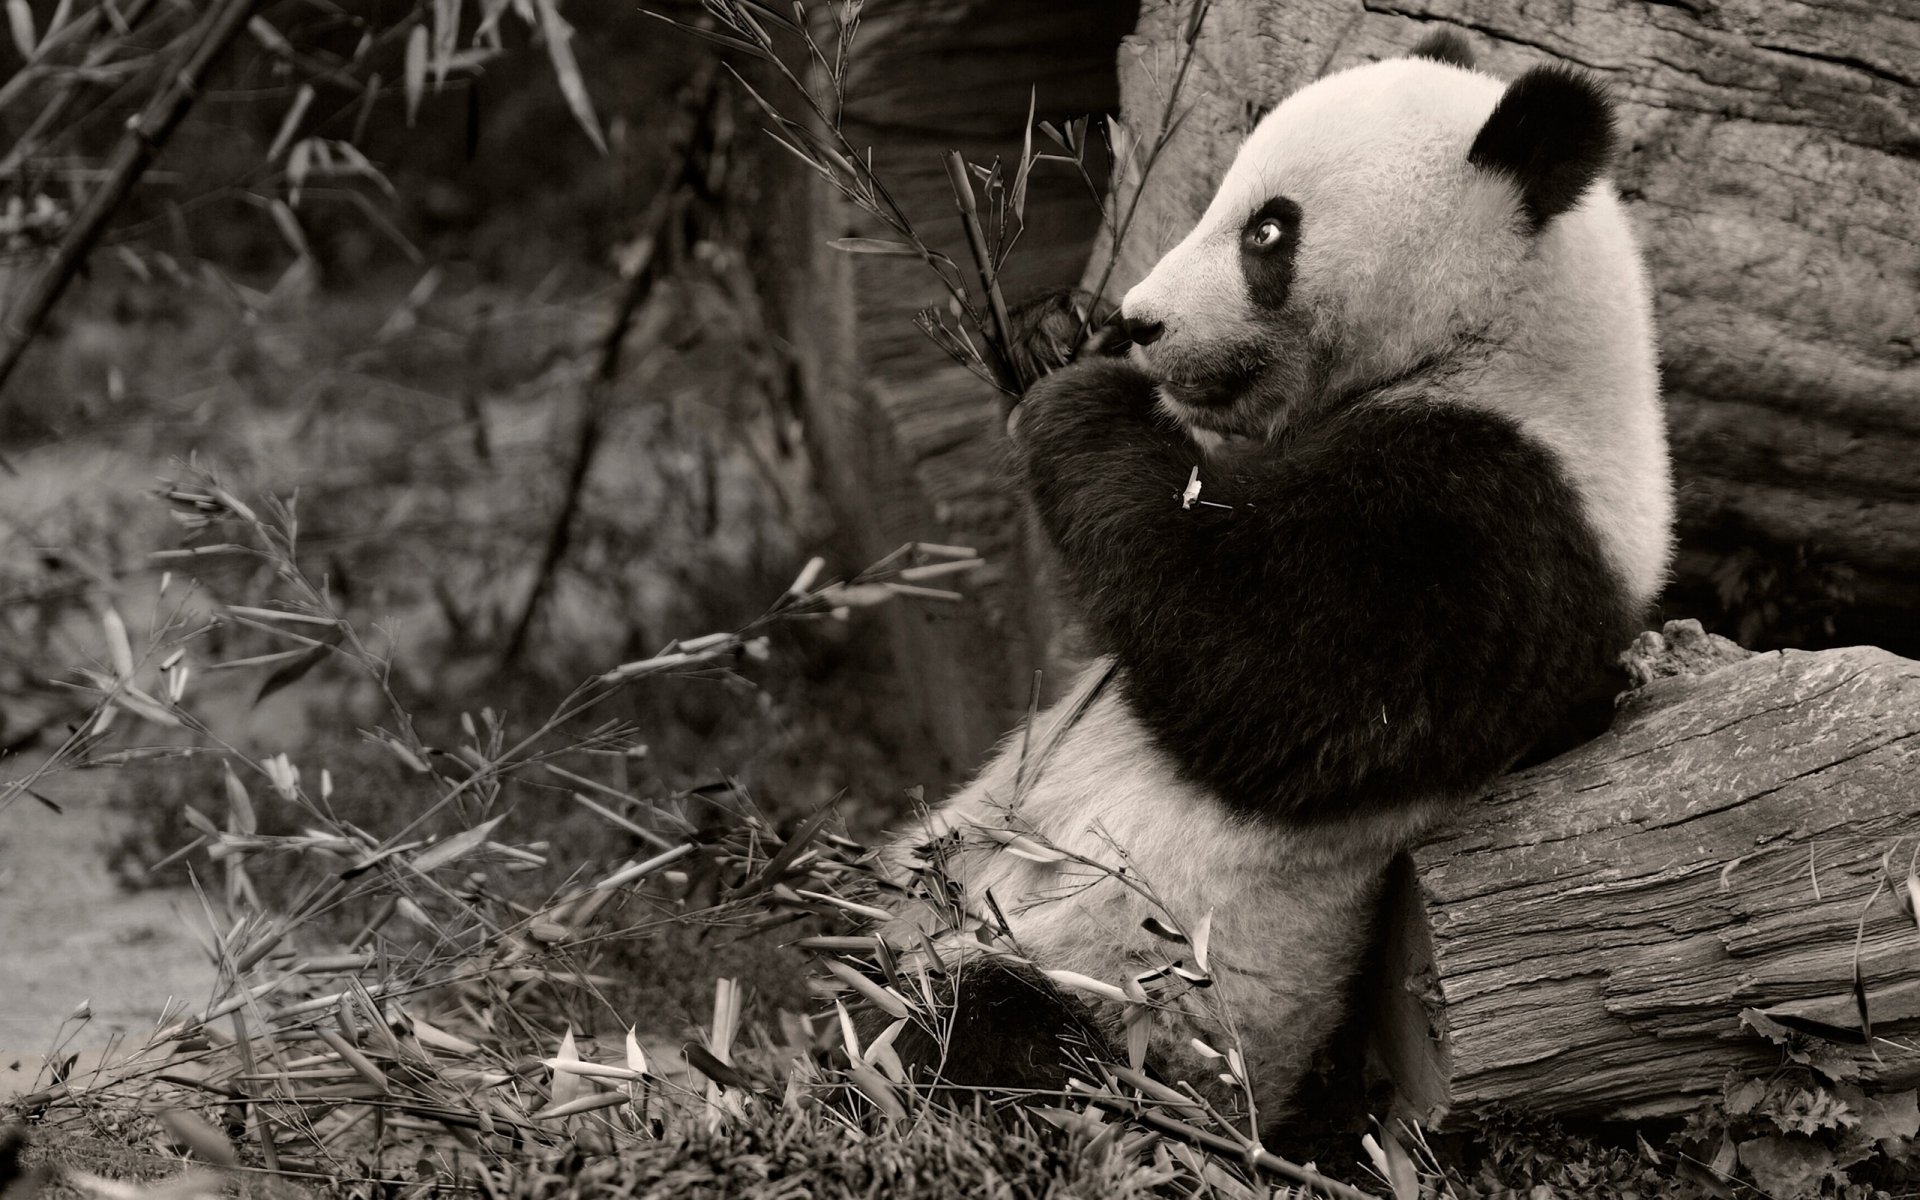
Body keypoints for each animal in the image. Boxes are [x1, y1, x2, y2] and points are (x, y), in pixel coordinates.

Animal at [861, 29, 1673, 1126]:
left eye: (1269, 231)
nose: (1141, 322)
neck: (1504, 345)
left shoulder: (1499, 521)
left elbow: (1275, 674)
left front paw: (1081, 396)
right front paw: (1046, 331)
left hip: (1147, 1007)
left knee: (1001, 1050)